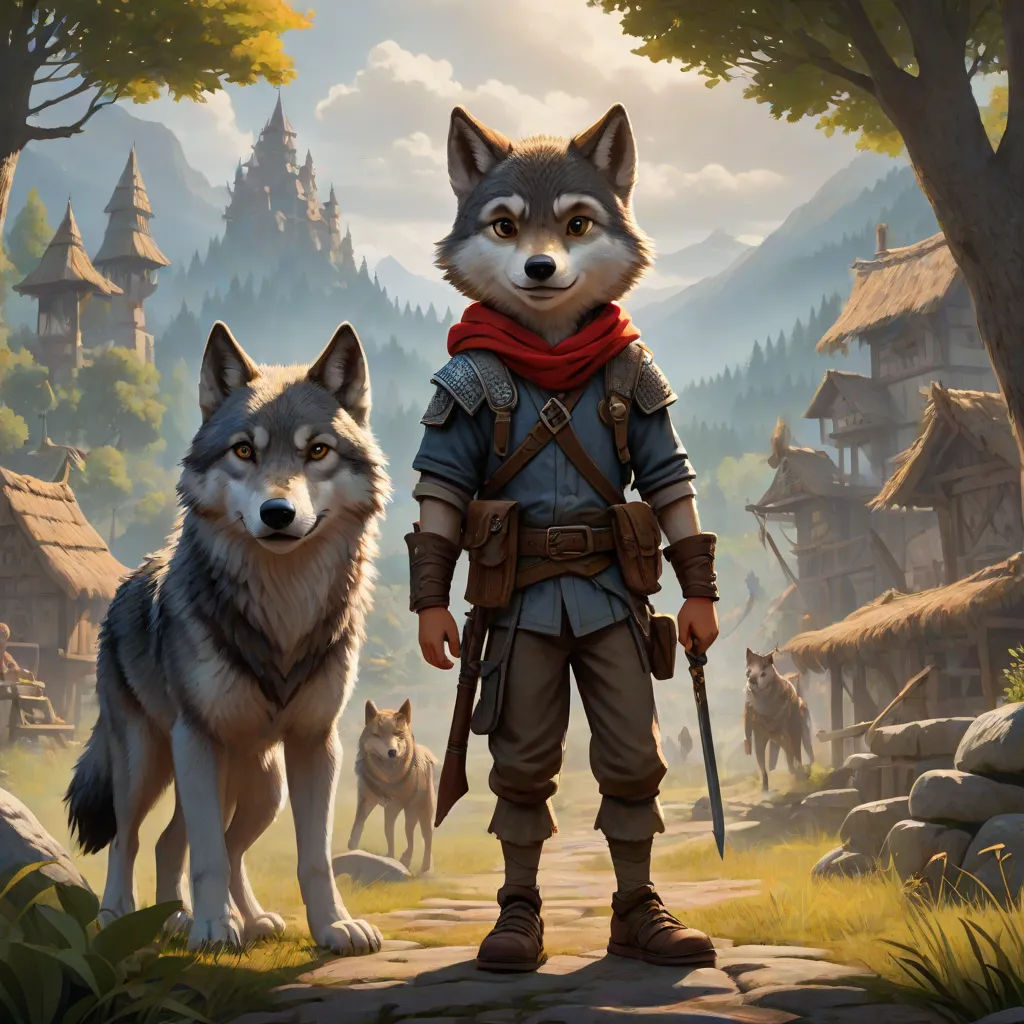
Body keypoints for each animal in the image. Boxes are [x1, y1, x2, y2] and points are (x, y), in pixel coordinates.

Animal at [65, 321, 390, 956]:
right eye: (244, 450)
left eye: (317, 450)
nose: (278, 512)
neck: (282, 612)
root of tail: (126, 582)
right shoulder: (197, 740)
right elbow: (207, 855)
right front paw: (214, 929)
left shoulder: (317, 744)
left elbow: (314, 858)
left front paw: (333, 926)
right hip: (146, 764)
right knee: (133, 839)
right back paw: (128, 918)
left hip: (264, 787)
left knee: (196, 842)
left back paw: (225, 919)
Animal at [347, 698, 437, 874]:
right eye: (377, 735)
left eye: (397, 734)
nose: (392, 752)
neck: (387, 779)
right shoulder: (366, 800)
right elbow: (360, 825)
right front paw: (352, 848)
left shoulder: (397, 806)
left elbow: (394, 834)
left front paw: (394, 858)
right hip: (407, 811)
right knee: (407, 834)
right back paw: (402, 858)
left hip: (420, 810)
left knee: (425, 836)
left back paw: (423, 867)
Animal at [743, 648, 814, 791]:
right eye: (749, 670)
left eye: (763, 673)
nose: (751, 680)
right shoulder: (758, 734)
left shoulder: (791, 732)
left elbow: (796, 754)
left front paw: (800, 774)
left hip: (801, 733)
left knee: (804, 752)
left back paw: (804, 771)